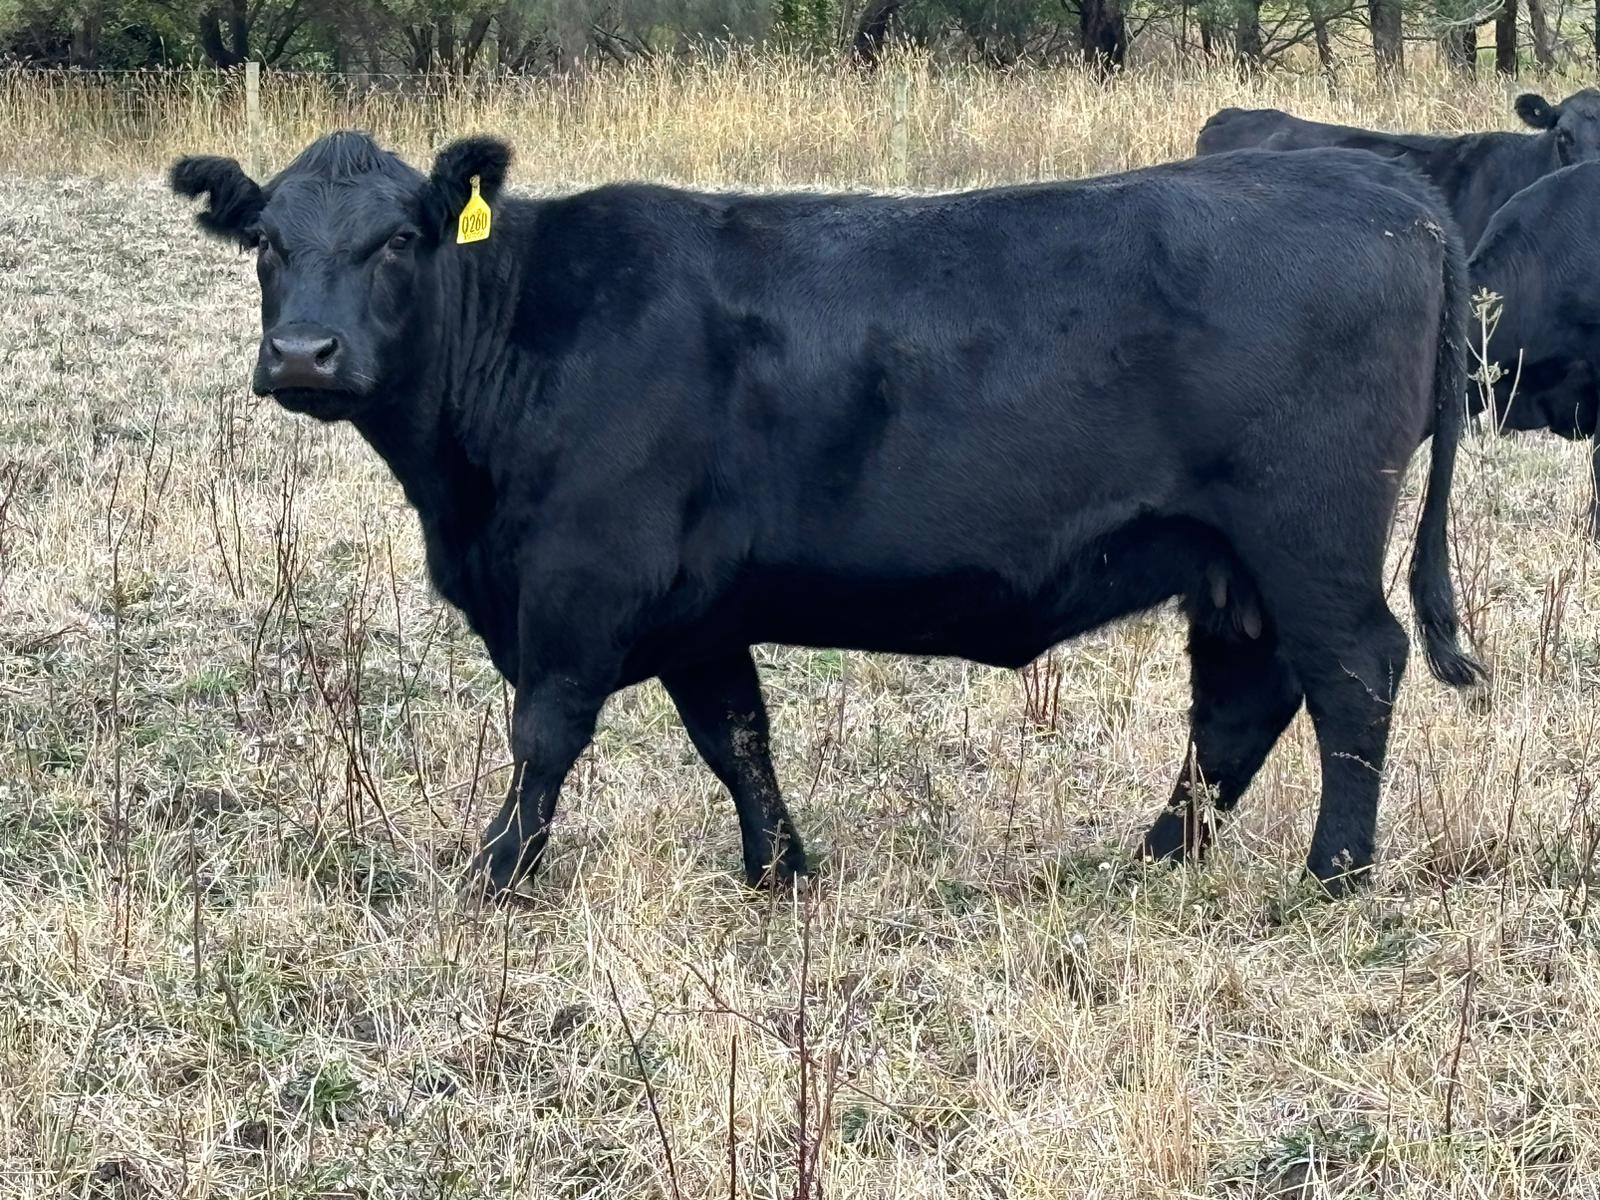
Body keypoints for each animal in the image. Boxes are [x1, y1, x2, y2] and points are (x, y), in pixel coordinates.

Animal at [169, 132, 1482, 901]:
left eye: (400, 239)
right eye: (266, 243)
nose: (304, 355)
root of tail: (1386, 189)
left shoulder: (583, 582)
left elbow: (543, 734)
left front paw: (492, 876)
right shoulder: (697, 612)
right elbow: (736, 735)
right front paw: (779, 871)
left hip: (1305, 532)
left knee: (1353, 673)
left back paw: (1332, 875)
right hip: (1228, 561)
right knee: (1240, 705)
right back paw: (1154, 861)